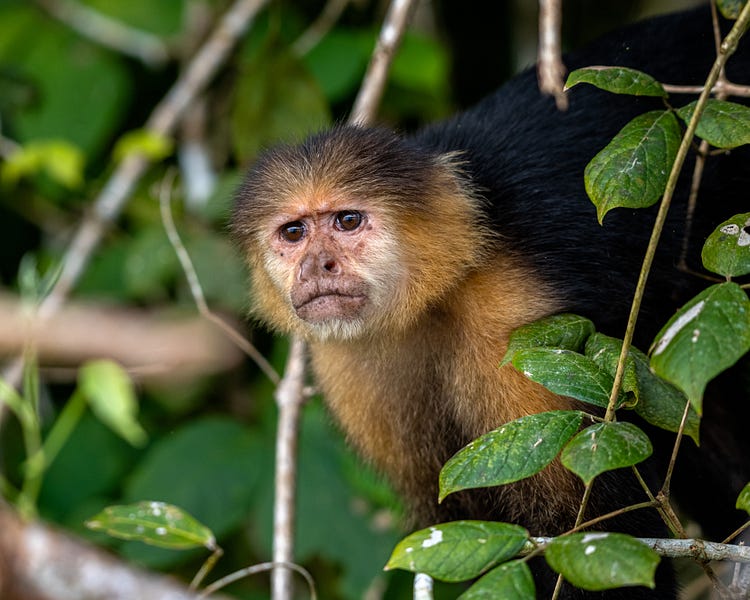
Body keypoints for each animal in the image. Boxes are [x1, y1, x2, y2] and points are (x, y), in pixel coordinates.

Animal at [232, 6, 750, 598]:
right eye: (293, 232)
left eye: (347, 221)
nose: (318, 266)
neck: (428, 304)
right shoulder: (349, 373)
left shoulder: (509, 323)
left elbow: (595, 536)